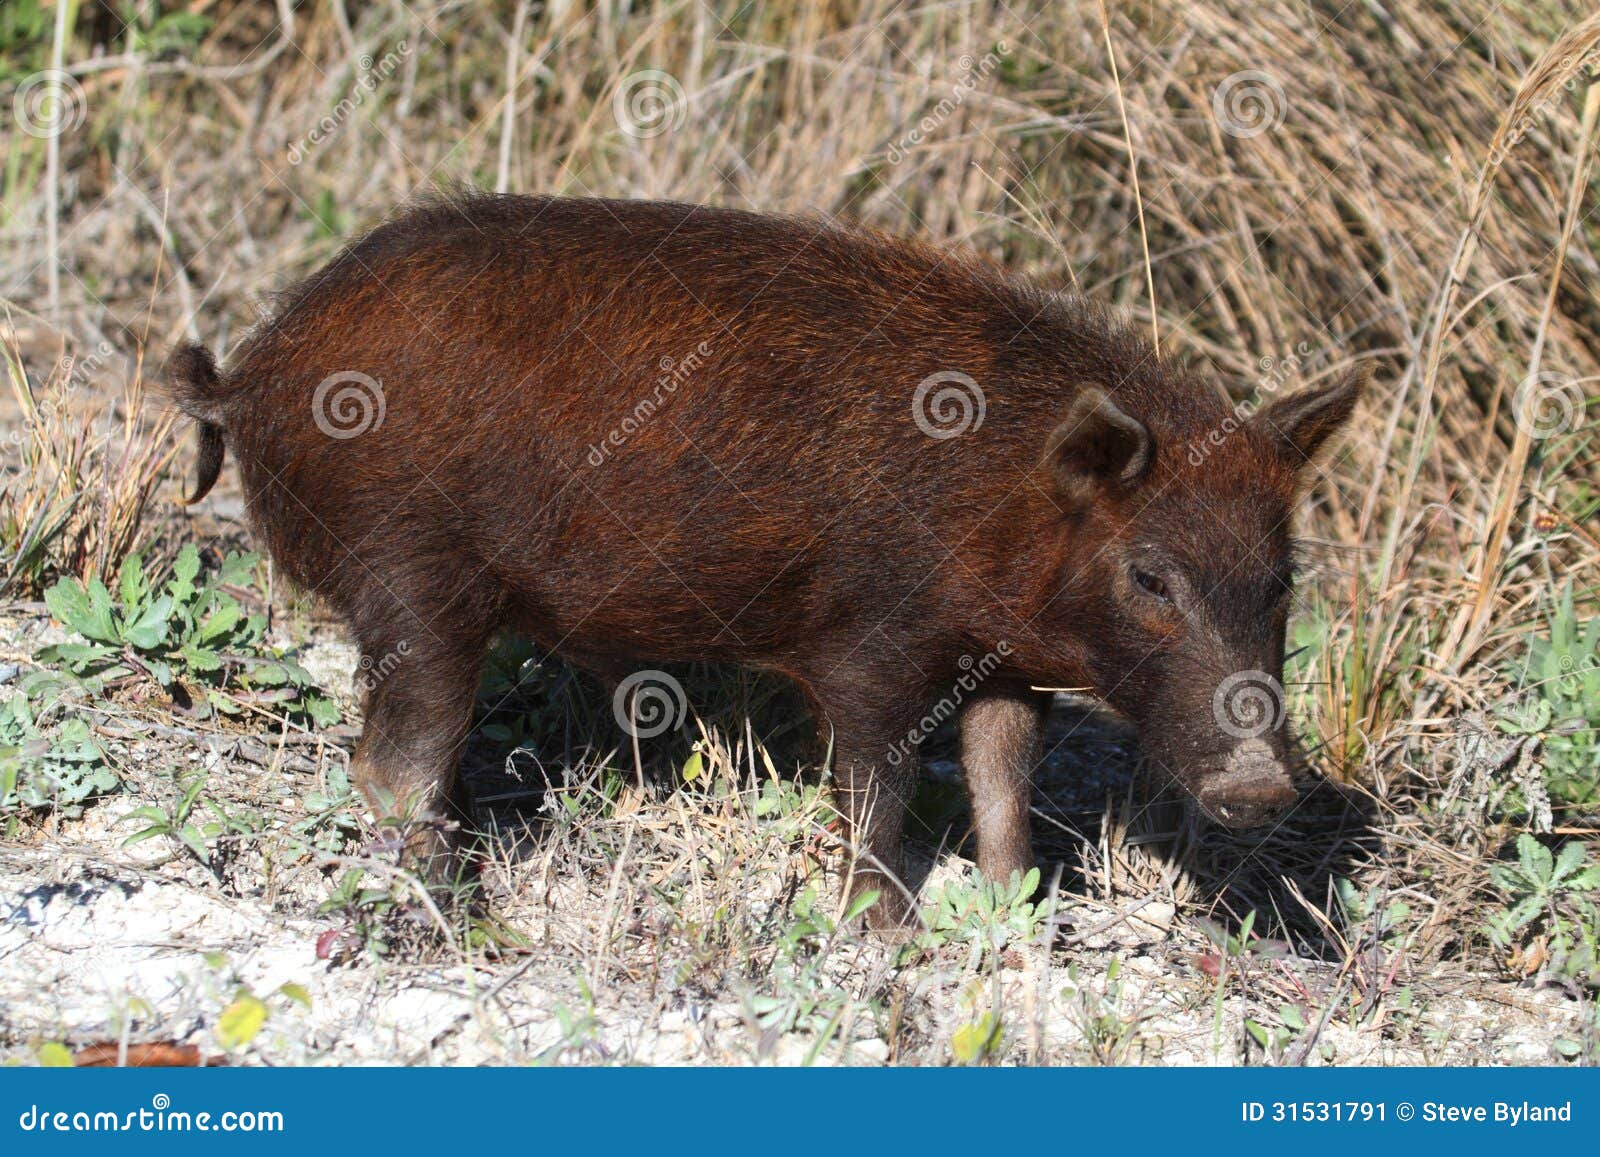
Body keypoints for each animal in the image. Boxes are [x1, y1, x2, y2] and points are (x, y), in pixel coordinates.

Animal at [166, 194, 1365, 929]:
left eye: (1281, 580)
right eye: (1151, 576)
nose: (1263, 784)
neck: (1010, 506)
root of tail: (251, 372)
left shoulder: (1002, 658)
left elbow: (1004, 781)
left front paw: (1011, 916)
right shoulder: (869, 642)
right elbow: (880, 788)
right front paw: (881, 934)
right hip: (413, 574)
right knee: (390, 763)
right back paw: (461, 913)